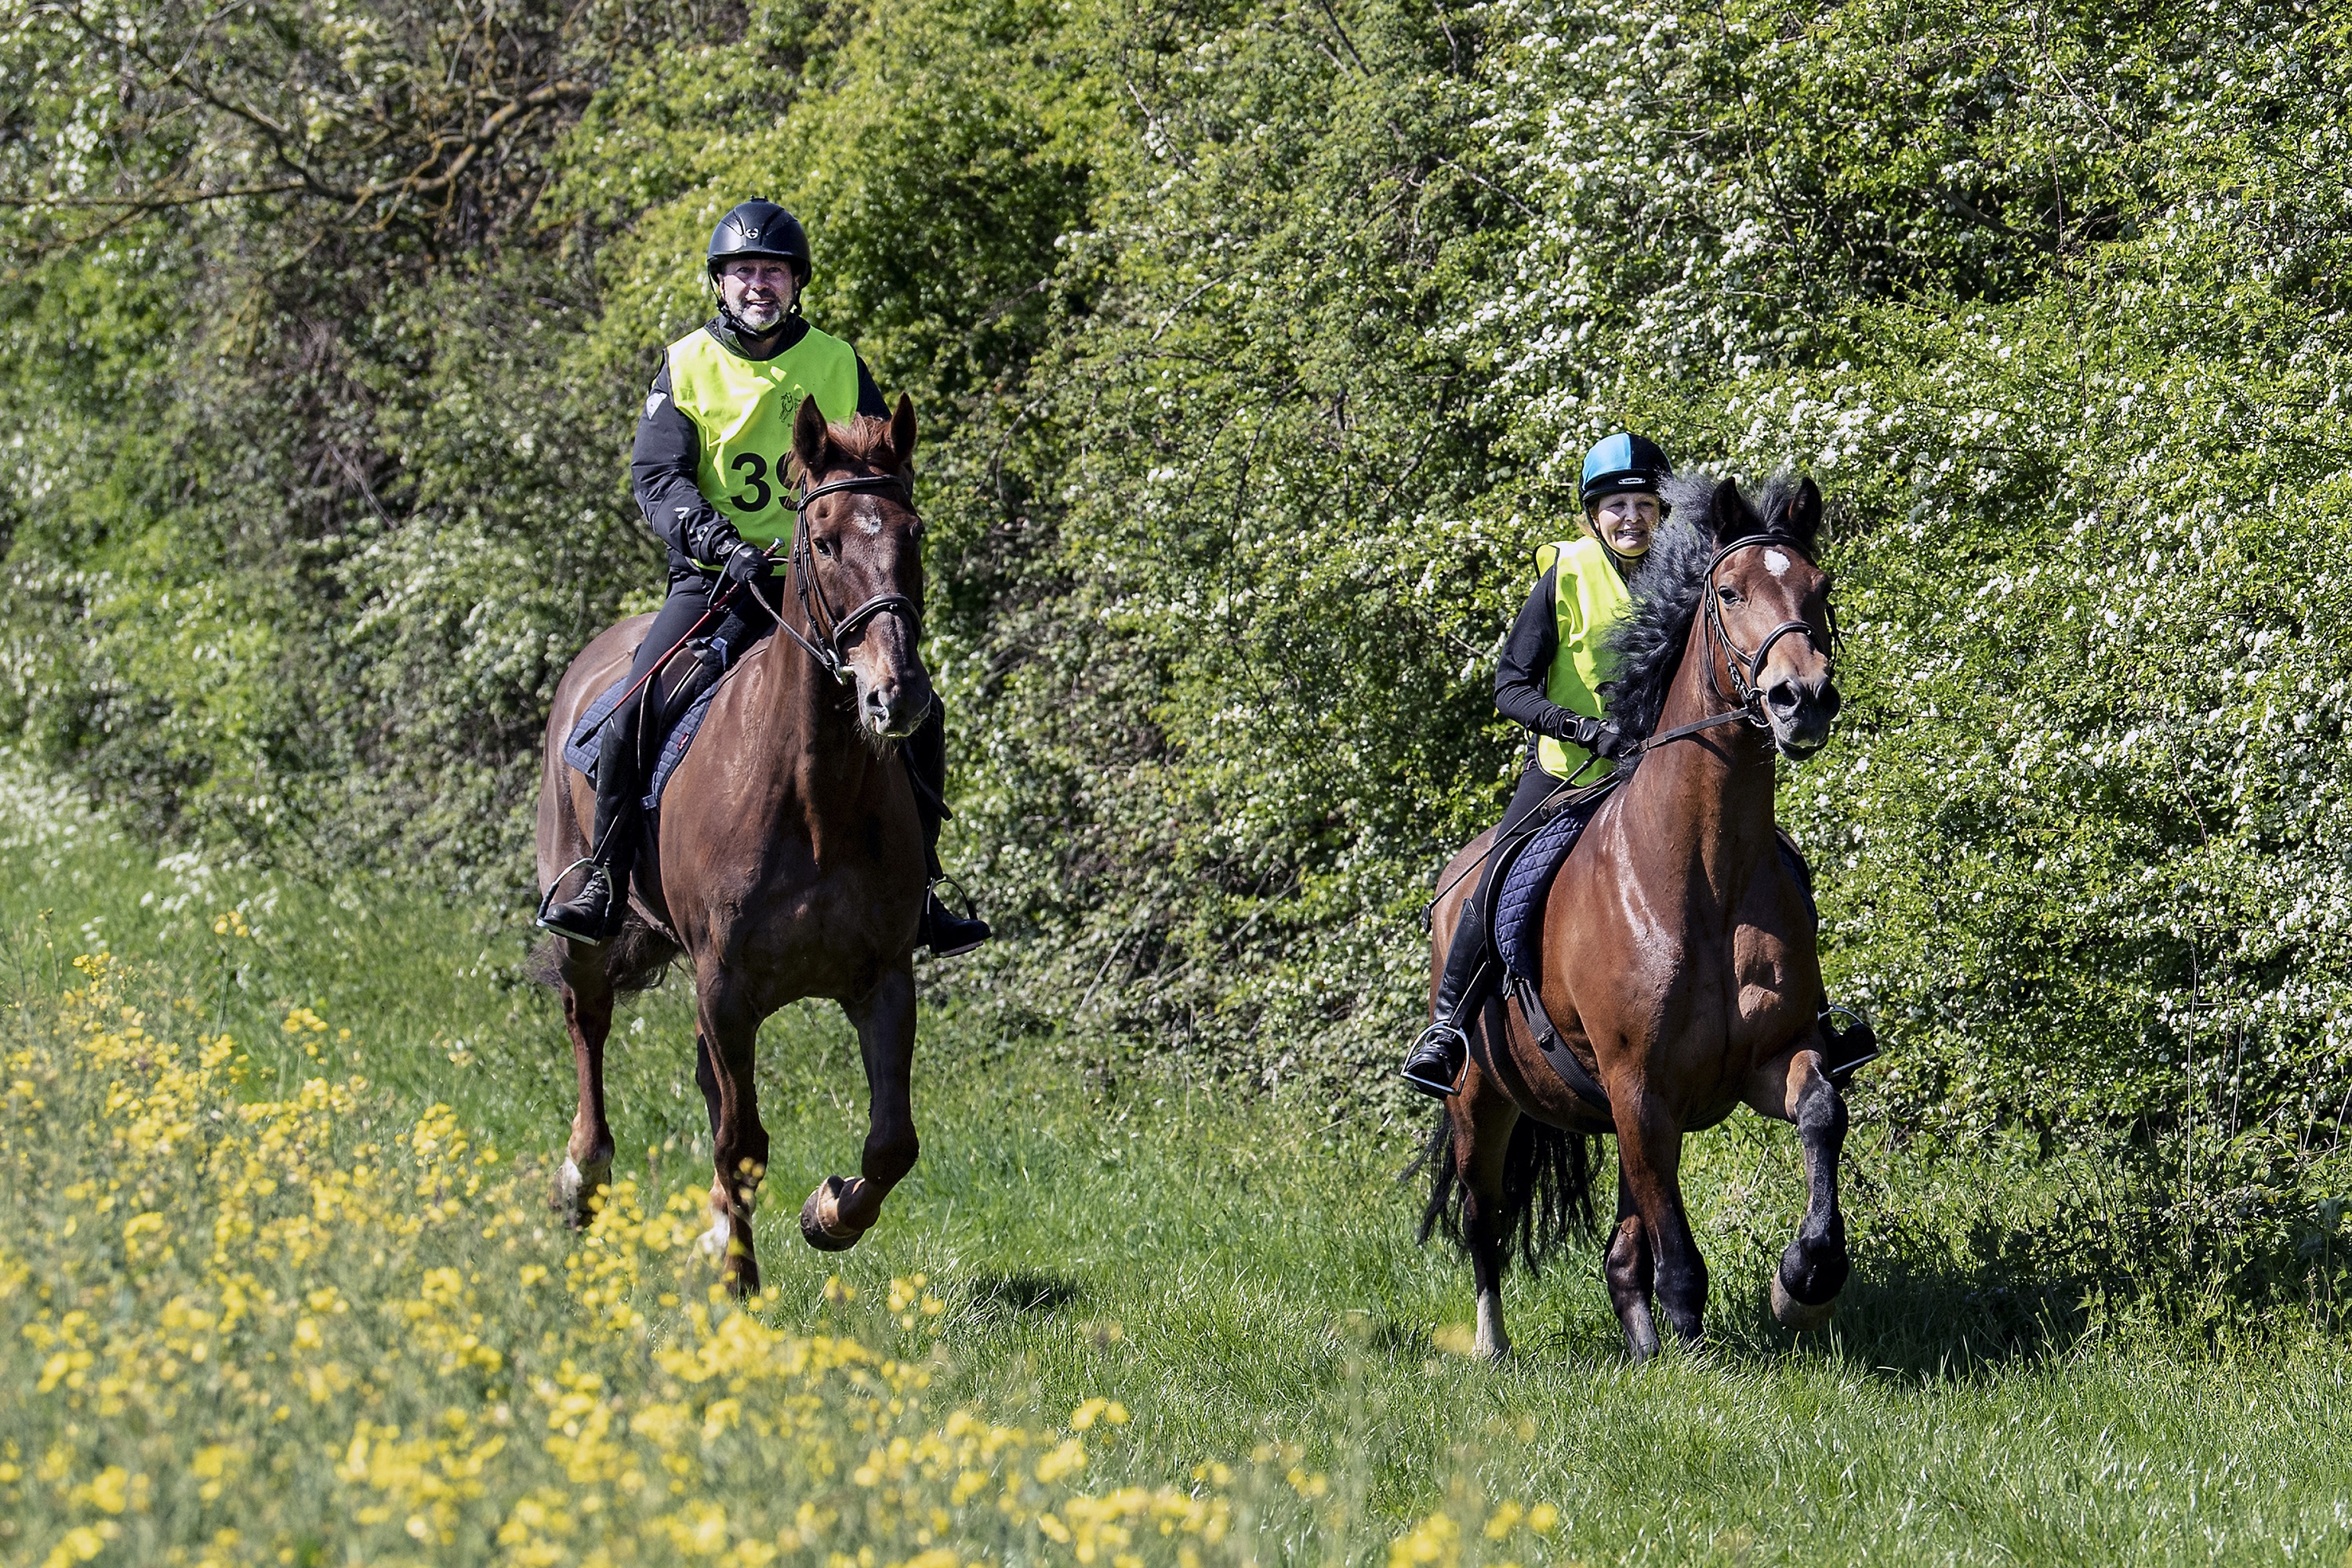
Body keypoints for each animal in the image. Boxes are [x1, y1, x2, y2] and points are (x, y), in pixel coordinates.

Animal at [533, 394, 933, 1294]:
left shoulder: (884, 977)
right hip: (586, 927)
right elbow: (741, 1142)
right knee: (588, 1022)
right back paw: (582, 1180)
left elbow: (891, 1143)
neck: (816, 800)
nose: (895, 695)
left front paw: (828, 1213)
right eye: (825, 541)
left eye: (913, 533)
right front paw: (740, 1286)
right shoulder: (726, 984)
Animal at [1419, 474, 1848, 1361]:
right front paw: (1693, 1353)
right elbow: (1677, 1252)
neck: (1708, 877)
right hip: (1480, 1099)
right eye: (1729, 592)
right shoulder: (1641, 1088)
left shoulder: (1767, 1058)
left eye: (1818, 589)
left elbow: (1823, 1113)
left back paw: (1642, 1344)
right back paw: (1493, 1347)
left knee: (1621, 1246)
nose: (1802, 700)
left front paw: (1804, 1282)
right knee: (1484, 1218)